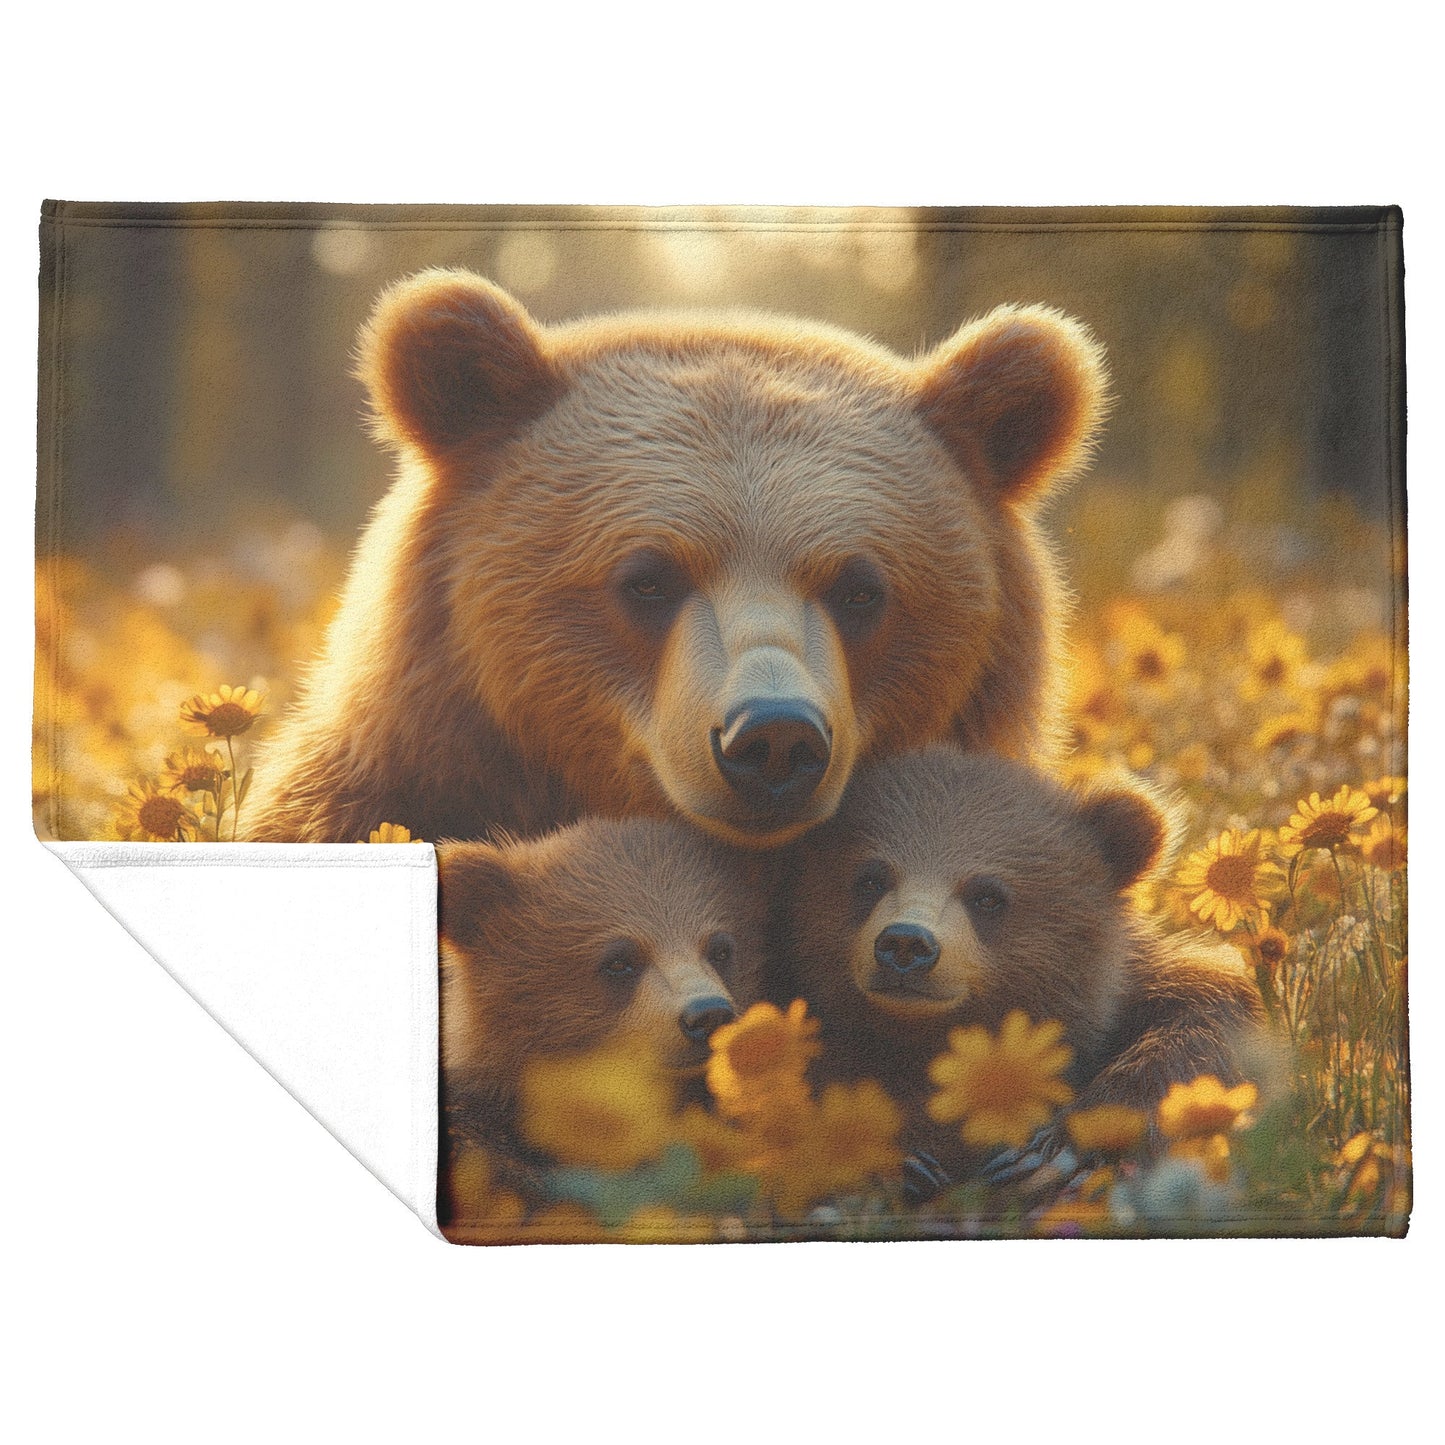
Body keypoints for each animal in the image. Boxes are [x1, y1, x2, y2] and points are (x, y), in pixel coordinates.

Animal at [778, 745, 1266, 1186]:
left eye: (987, 895)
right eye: (870, 878)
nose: (906, 944)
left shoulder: (1130, 994)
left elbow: (1202, 1018)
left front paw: (1051, 1154)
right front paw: (896, 1160)